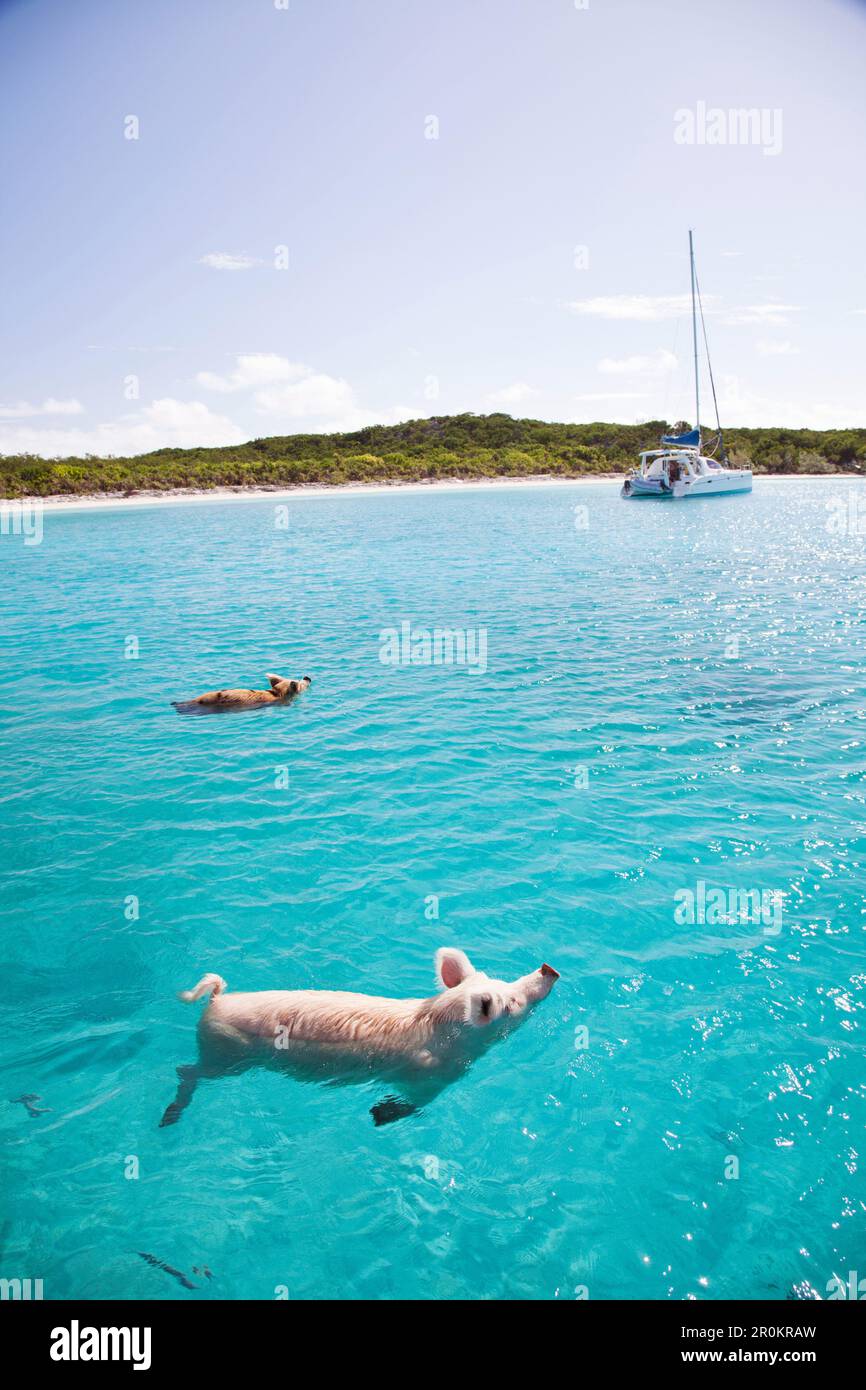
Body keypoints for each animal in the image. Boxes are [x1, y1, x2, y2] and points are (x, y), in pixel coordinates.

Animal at [158, 945, 558, 1128]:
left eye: (505, 982)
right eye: (512, 1002)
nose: (548, 969)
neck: (436, 1022)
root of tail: (216, 998)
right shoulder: (429, 1077)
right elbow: (414, 1103)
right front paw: (379, 1115)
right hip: (224, 1054)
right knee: (186, 1071)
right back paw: (168, 1119)